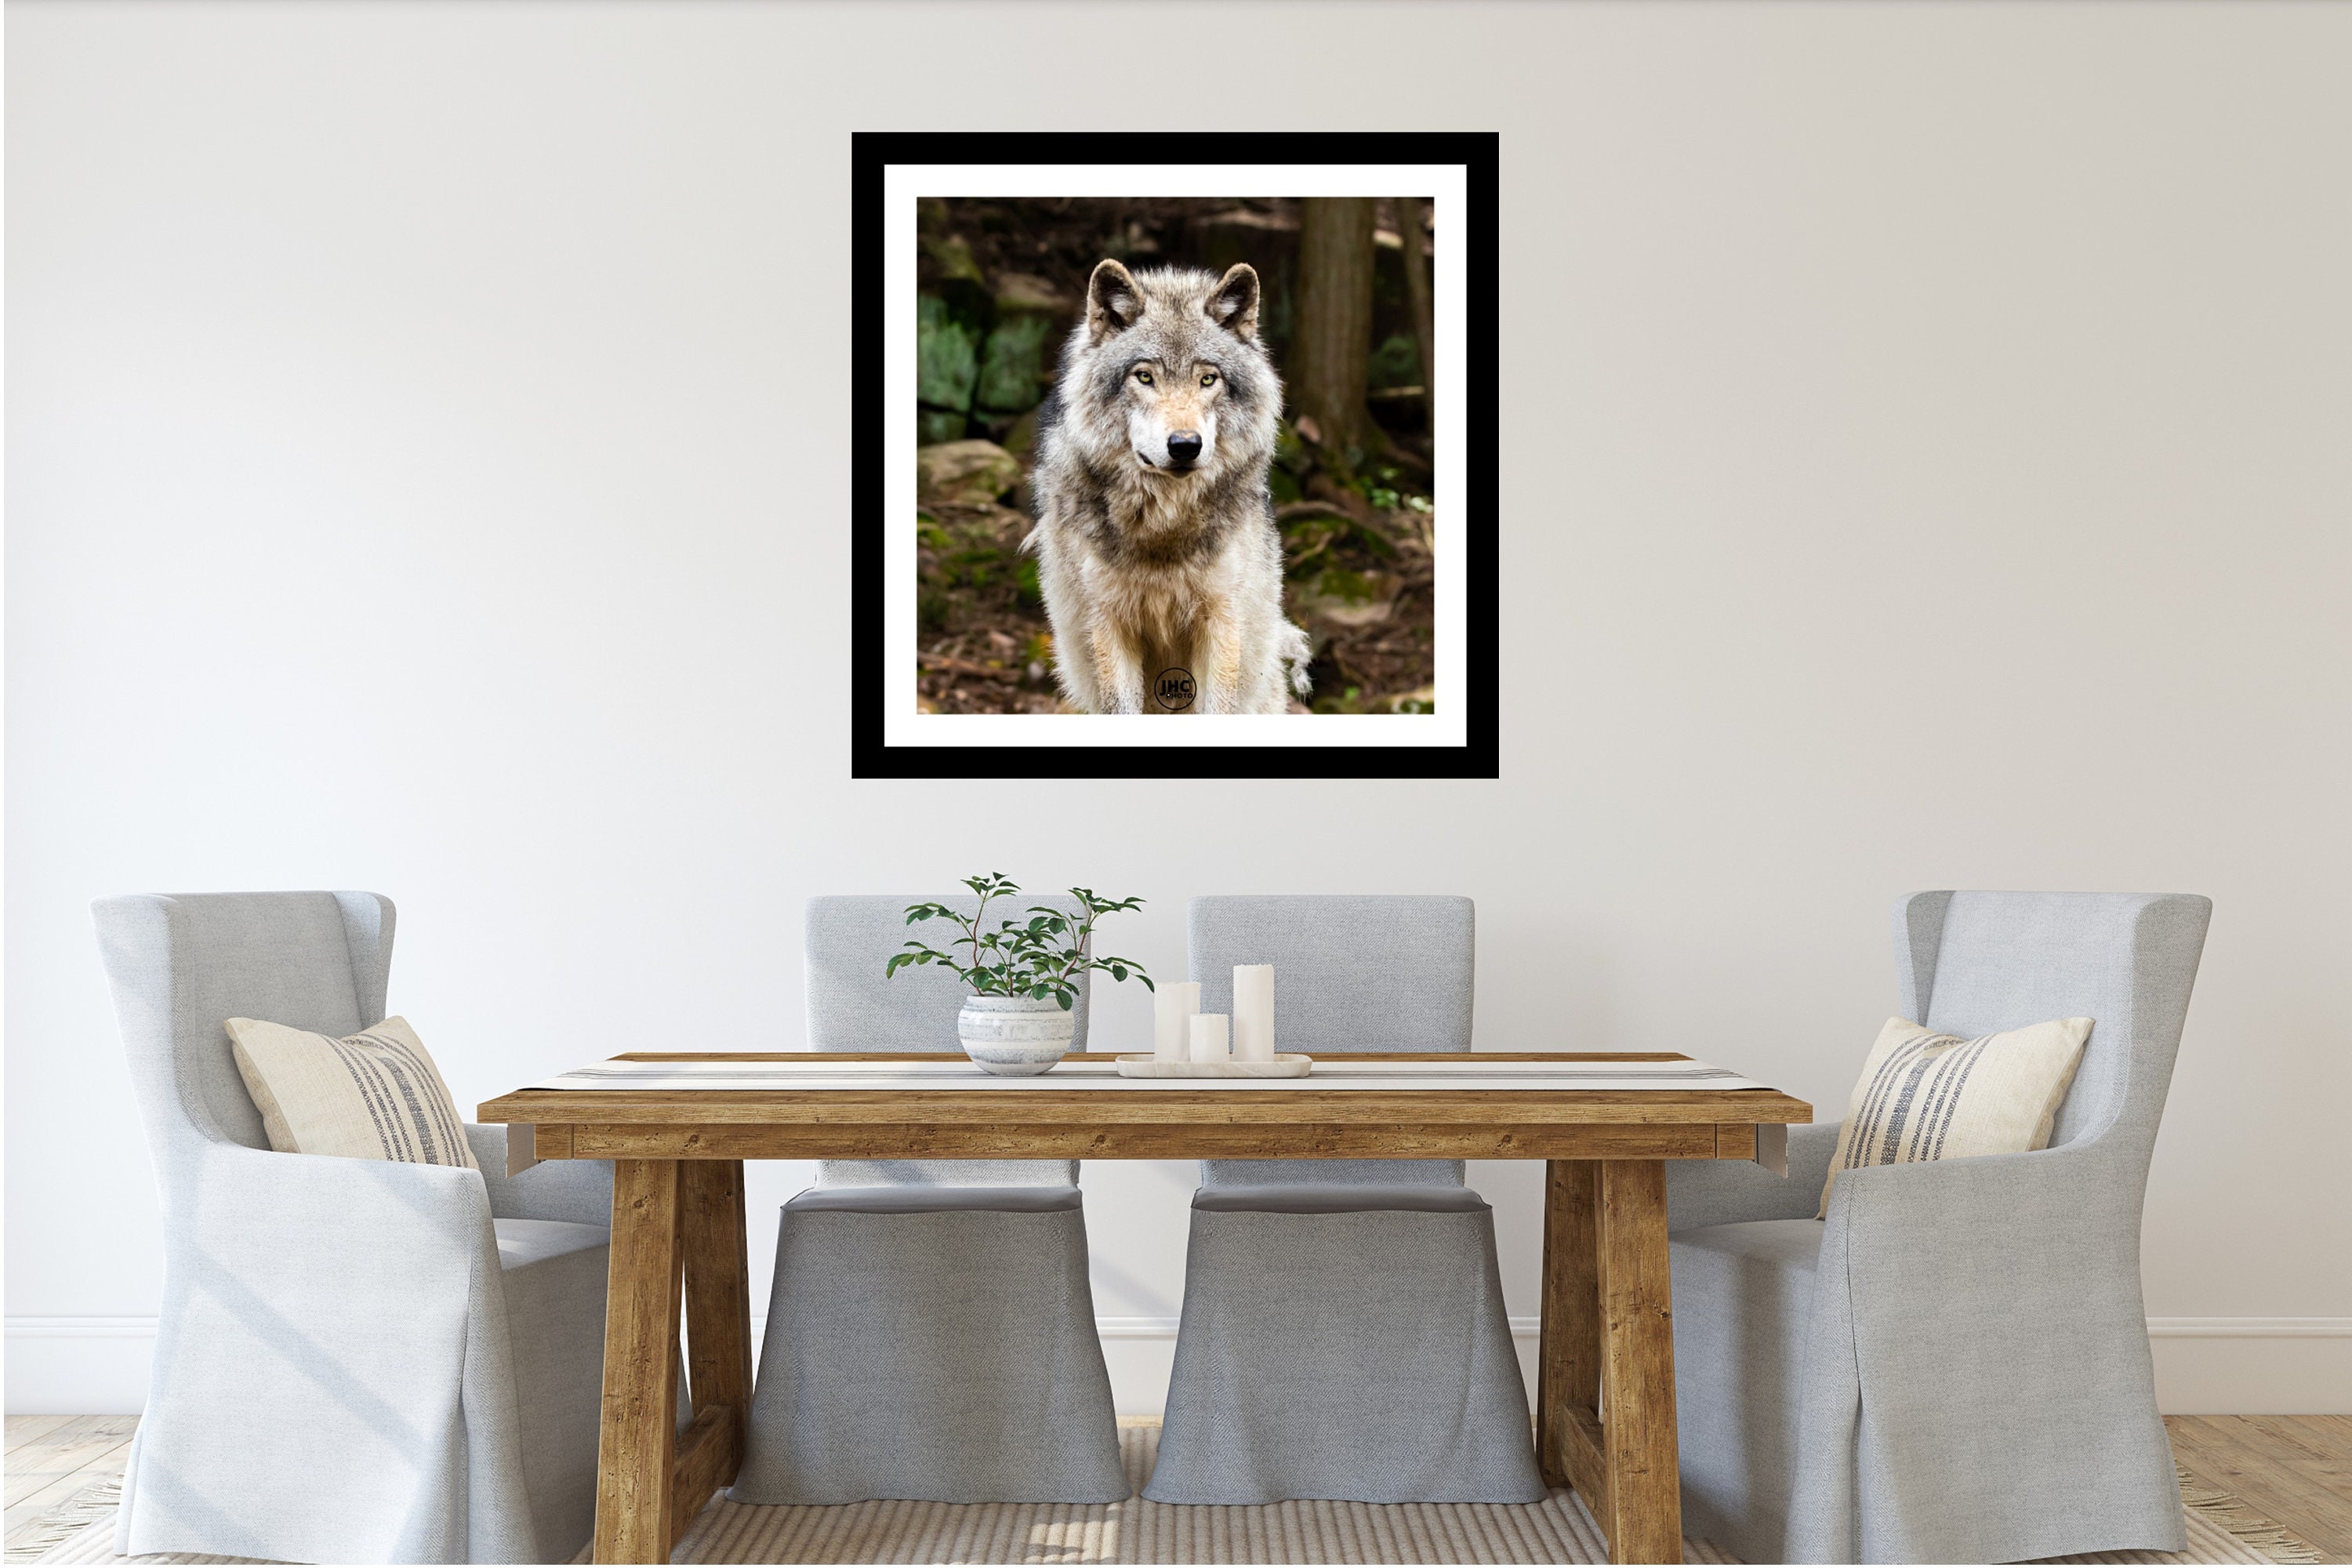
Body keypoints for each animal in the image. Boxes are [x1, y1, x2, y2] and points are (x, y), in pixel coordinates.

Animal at [1028, 259, 1312, 714]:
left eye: (1208, 380)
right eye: (1144, 376)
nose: (1184, 445)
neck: (1164, 525)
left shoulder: (1221, 620)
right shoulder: (1109, 623)